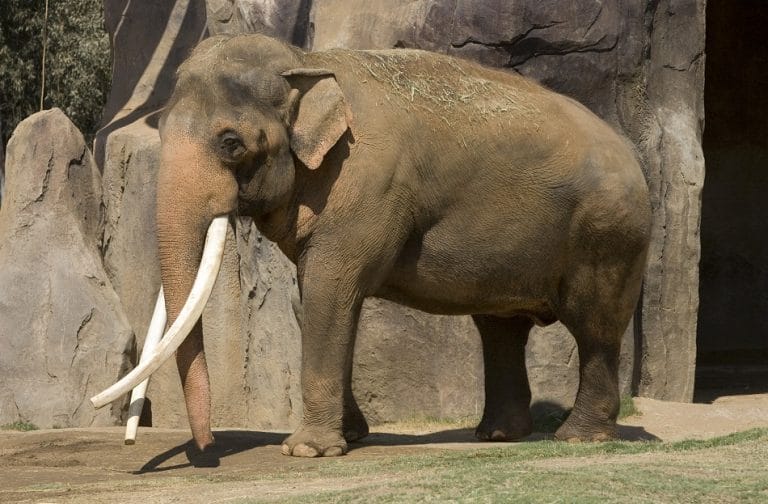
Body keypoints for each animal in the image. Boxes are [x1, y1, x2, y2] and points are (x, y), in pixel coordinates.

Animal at [91, 33, 651, 457]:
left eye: (231, 143)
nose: (207, 448)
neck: (306, 60)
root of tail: (633, 154)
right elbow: (316, 298)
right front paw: (350, 436)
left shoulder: (367, 180)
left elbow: (328, 290)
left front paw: (307, 451)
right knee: (500, 328)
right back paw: (497, 435)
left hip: (610, 234)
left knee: (595, 327)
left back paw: (579, 439)